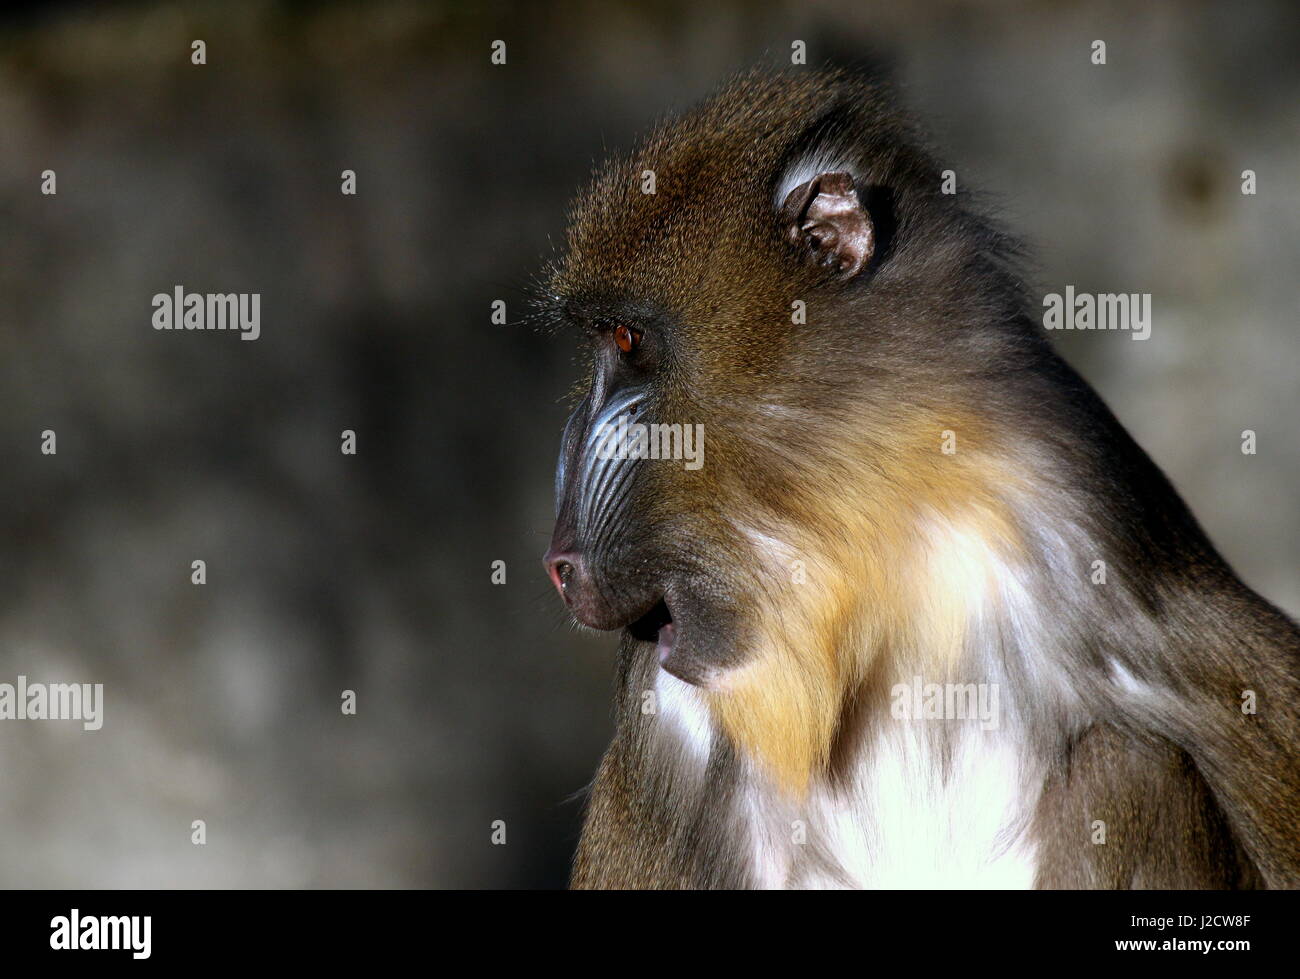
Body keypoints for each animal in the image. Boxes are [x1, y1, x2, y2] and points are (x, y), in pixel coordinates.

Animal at [538, 68, 1300, 889]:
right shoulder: (665, 717)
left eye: (626, 339)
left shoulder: (1100, 560)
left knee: (1126, 764)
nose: (557, 563)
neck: (890, 566)